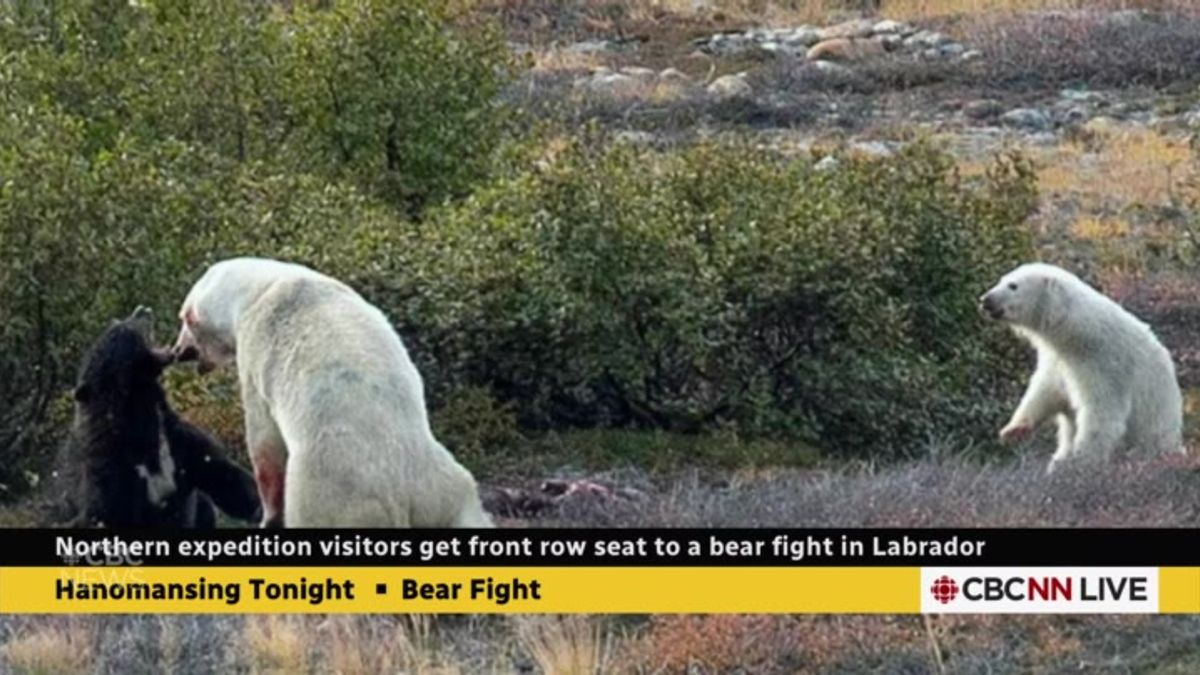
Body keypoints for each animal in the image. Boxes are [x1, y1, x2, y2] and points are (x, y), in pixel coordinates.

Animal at [51, 306, 262, 528]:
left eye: (120, 321)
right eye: (120, 330)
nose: (141, 310)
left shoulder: (176, 442)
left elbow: (223, 474)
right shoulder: (113, 468)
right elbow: (109, 510)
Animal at [171, 257, 493, 528]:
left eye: (184, 320)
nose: (178, 350)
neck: (261, 286)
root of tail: (400, 500)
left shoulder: (255, 348)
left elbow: (264, 440)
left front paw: (267, 515)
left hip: (328, 492)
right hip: (444, 491)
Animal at [979, 262, 1184, 474]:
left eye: (1013, 285)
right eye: (1001, 280)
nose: (985, 300)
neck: (1080, 334)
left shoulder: (1105, 365)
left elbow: (1102, 413)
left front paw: (1080, 460)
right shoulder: (1058, 360)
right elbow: (1047, 390)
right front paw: (1013, 430)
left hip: (1155, 430)